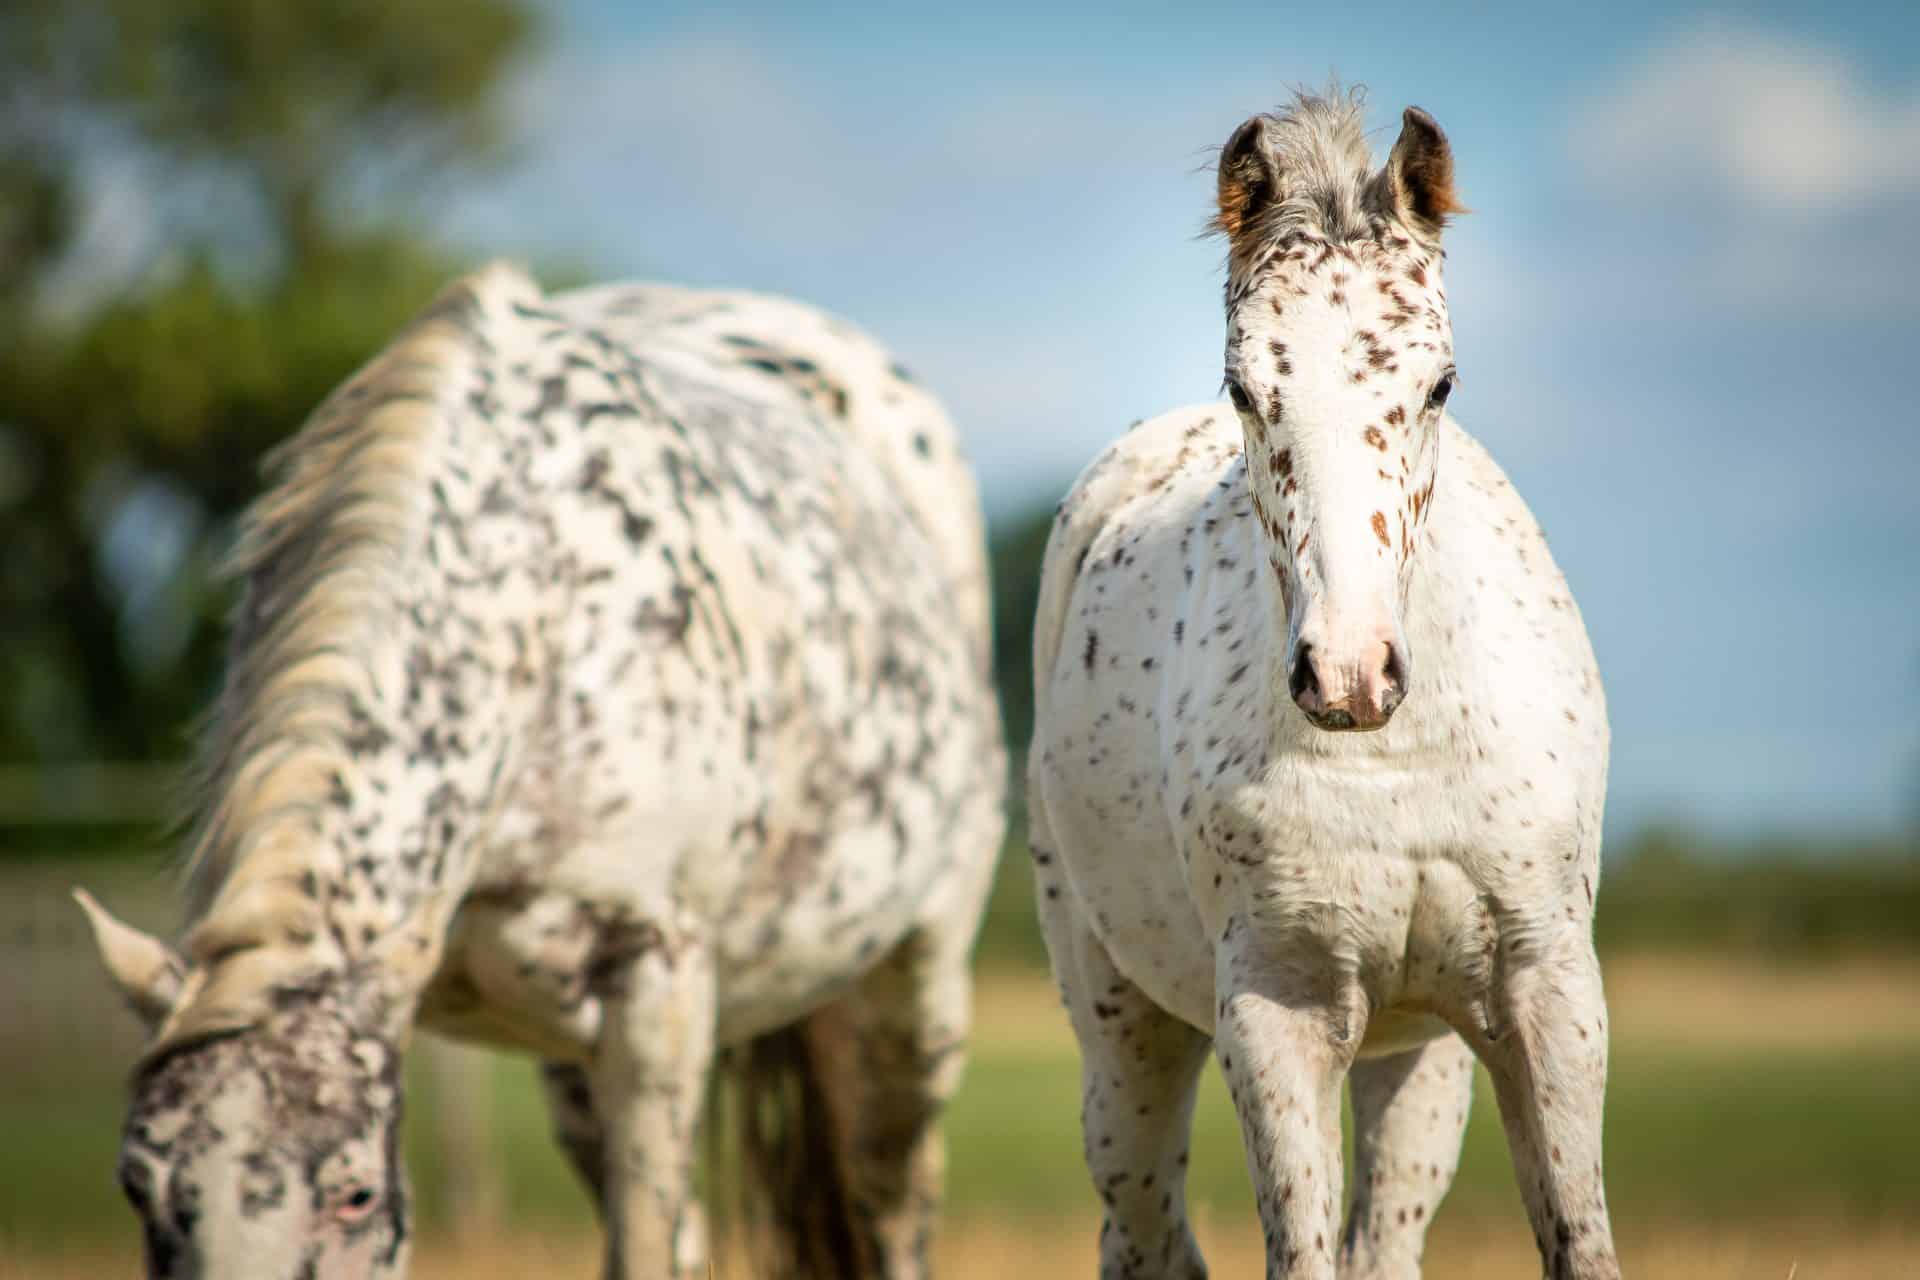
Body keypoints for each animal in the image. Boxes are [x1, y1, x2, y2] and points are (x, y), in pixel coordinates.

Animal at [75, 264, 1008, 1280]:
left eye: (354, 1193)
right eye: (138, 1186)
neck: (546, 625)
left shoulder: (661, 987)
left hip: (911, 996)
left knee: (893, 1199)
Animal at [1027, 92, 1617, 1279]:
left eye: (1439, 383)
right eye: (1246, 388)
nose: (1349, 673)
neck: (1398, 761)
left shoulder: (1546, 994)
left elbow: (1576, 1238)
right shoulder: (1278, 1010)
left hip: (1419, 1053)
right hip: (1121, 1024)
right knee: (1145, 1228)